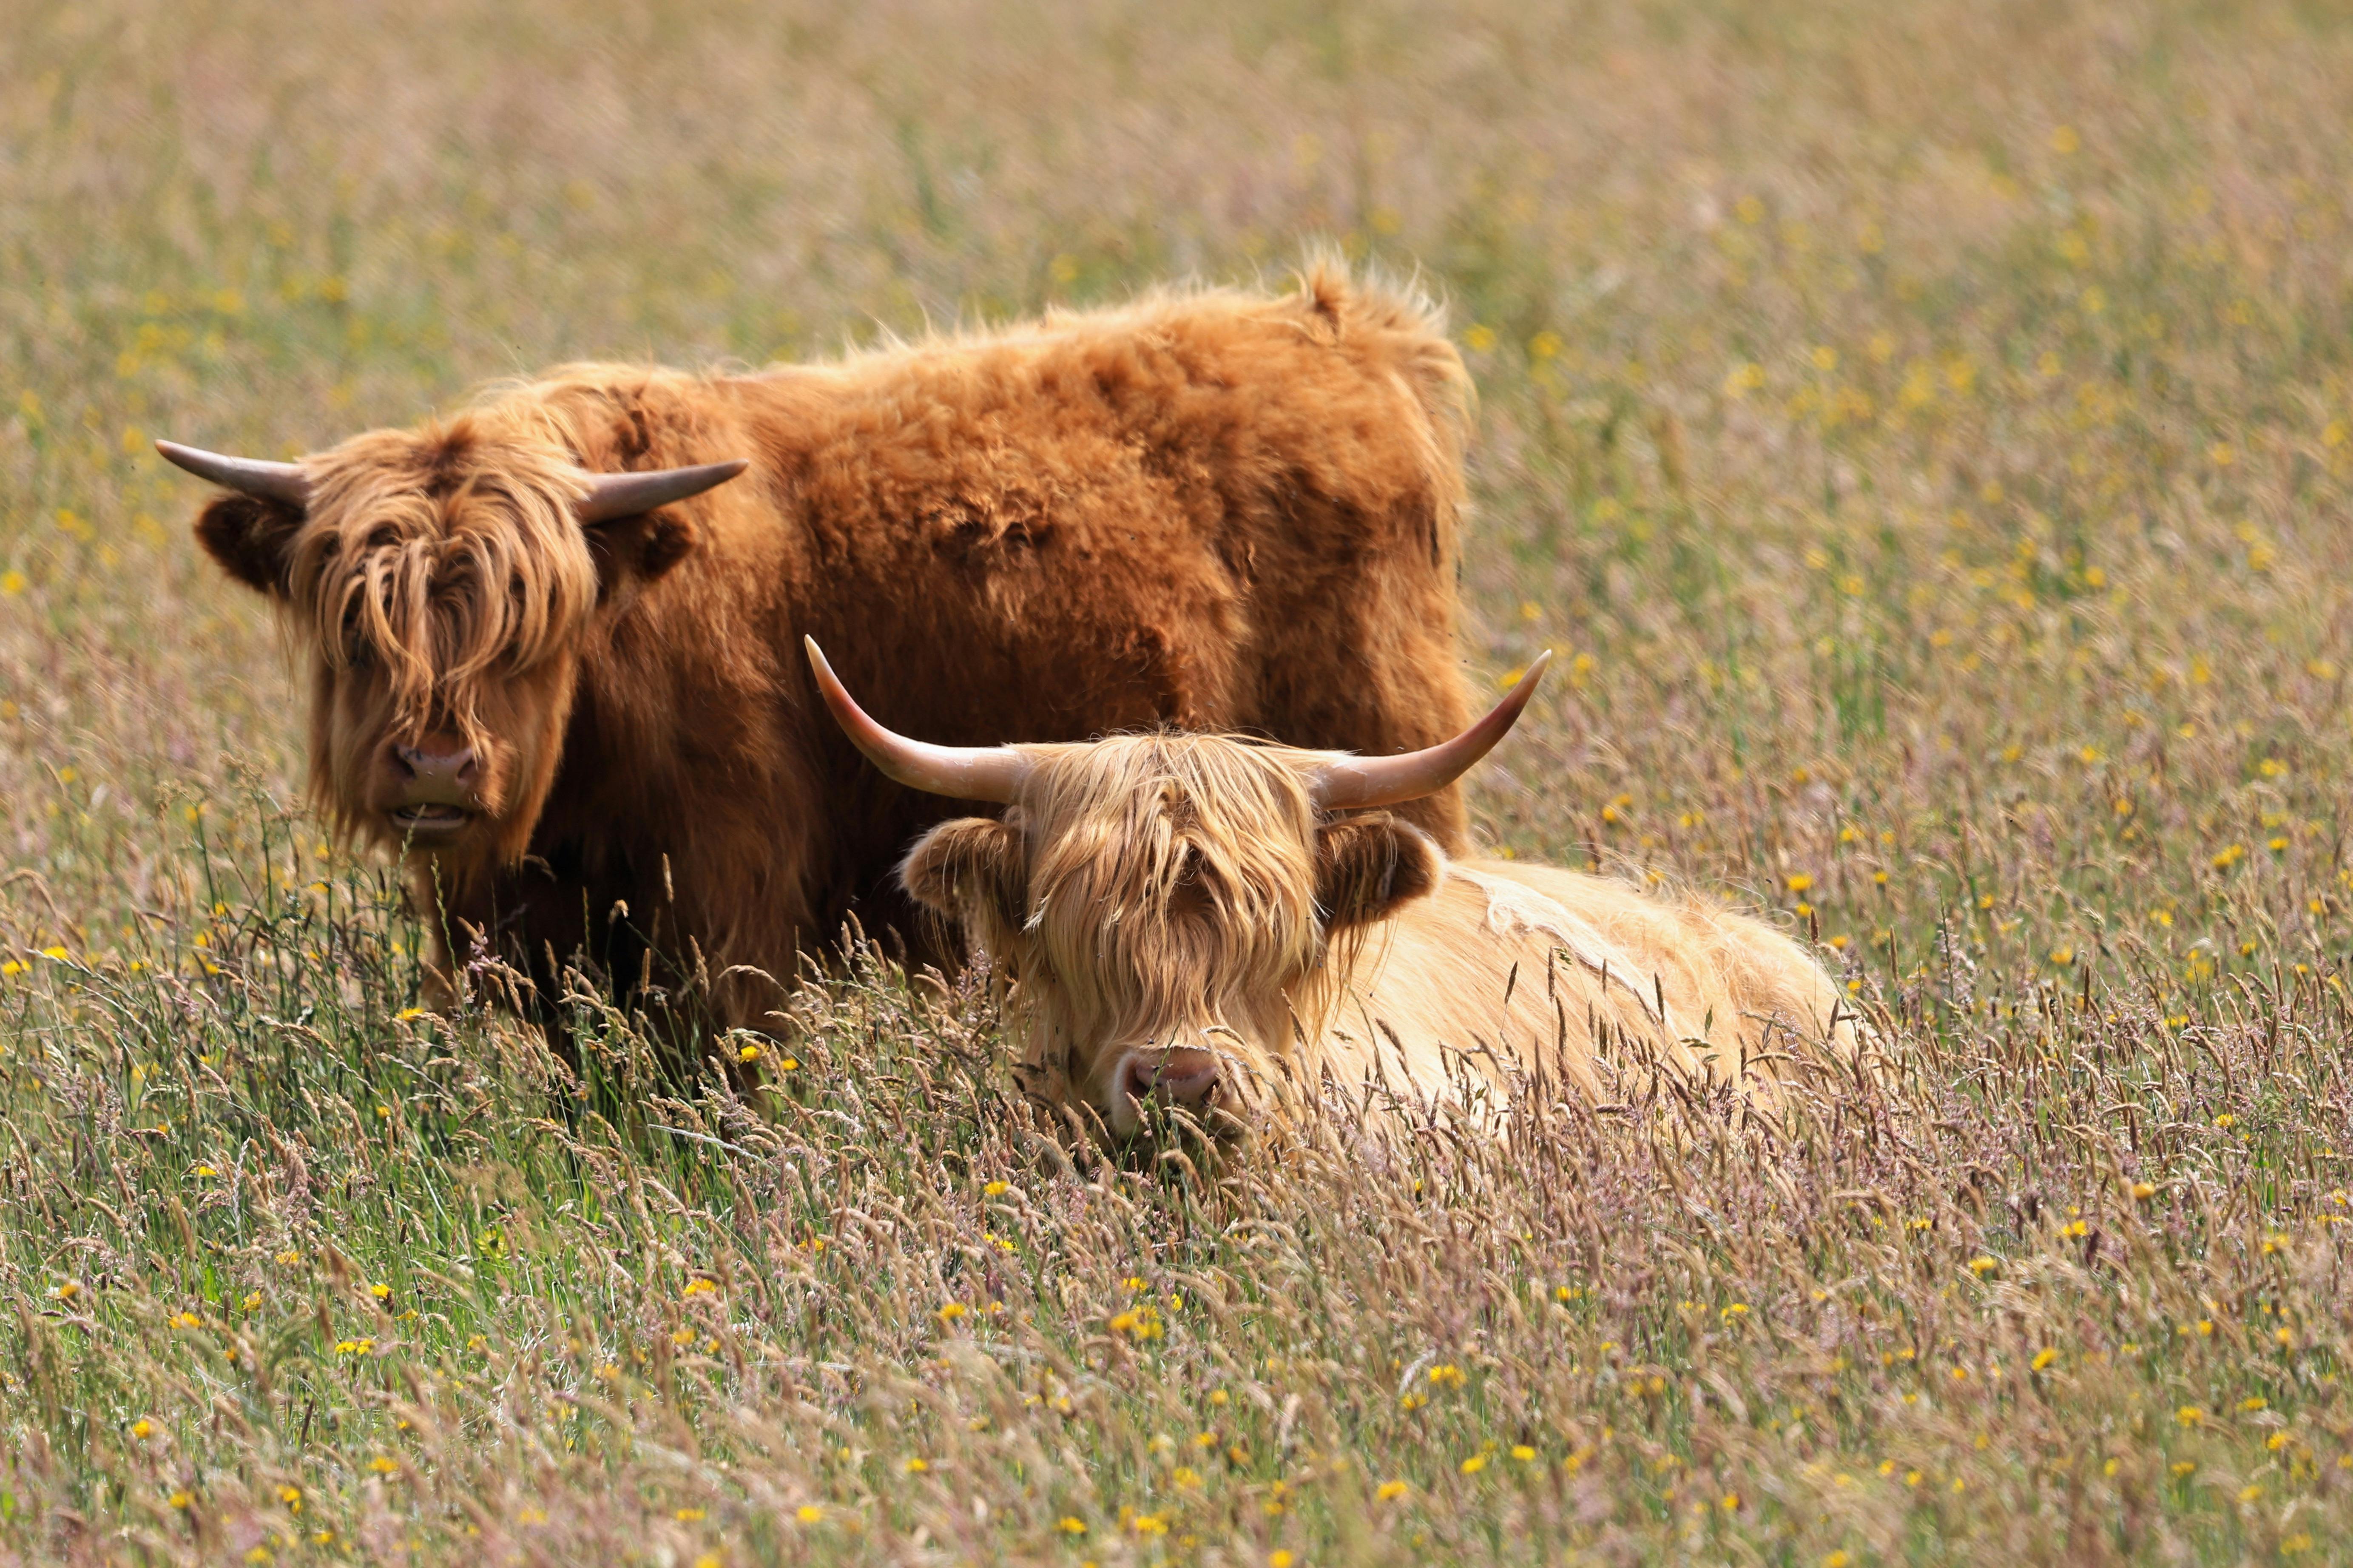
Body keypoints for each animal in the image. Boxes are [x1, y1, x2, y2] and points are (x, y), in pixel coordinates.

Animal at [160, 267, 1476, 1031]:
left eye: (527, 630)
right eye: (356, 623)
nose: (435, 767)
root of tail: (1338, 326)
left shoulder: (732, 889)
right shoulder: (514, 924)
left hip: (1387, 756)